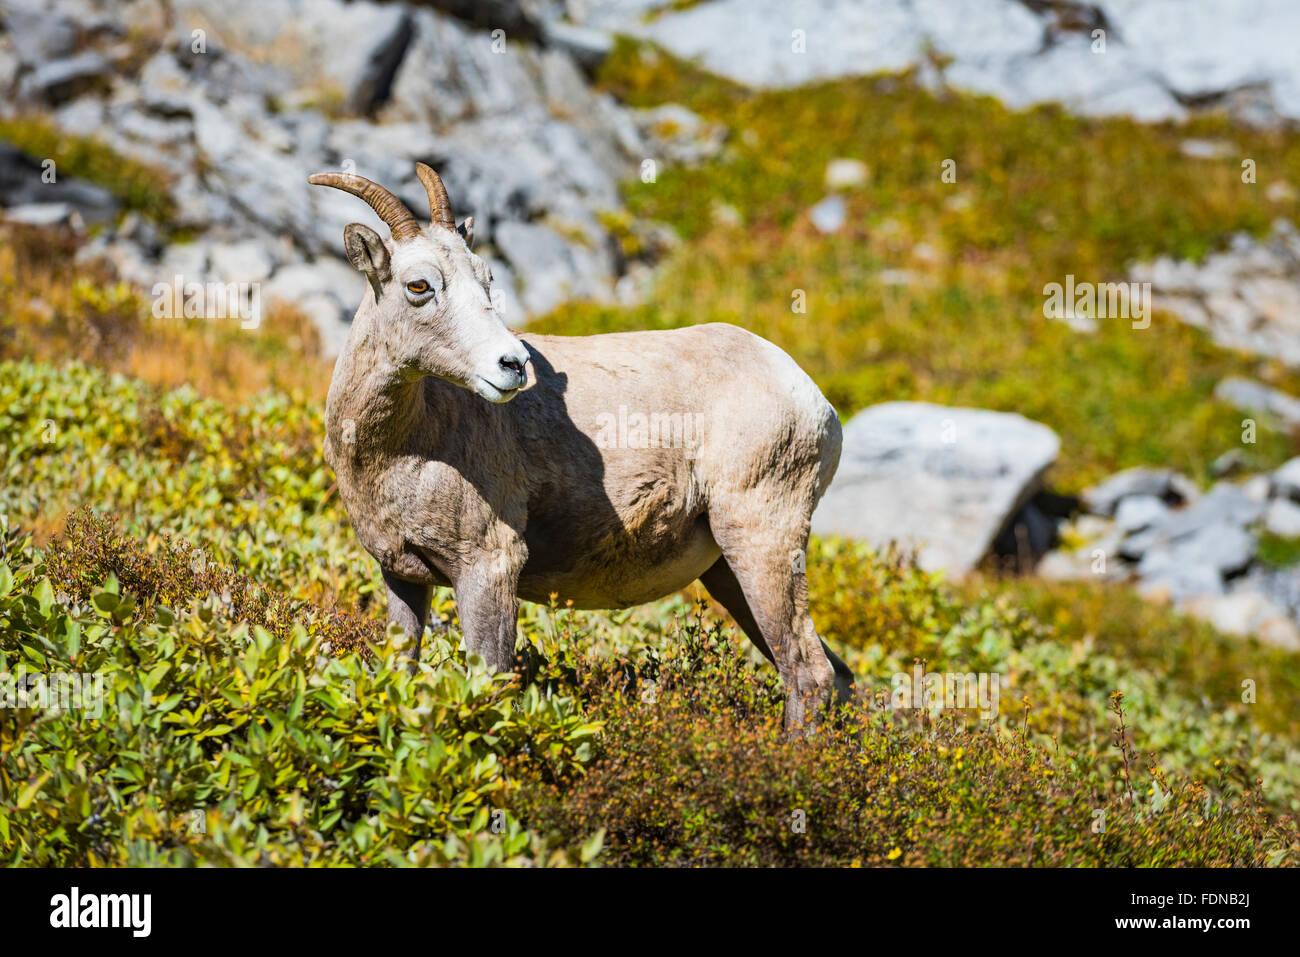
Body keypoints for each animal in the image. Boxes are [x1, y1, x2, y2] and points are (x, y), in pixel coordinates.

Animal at [309, 163, 853, 732]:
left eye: (487, 279)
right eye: (419, 285)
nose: (513, 364)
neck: (401, 450)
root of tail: (814, 400)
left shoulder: (488, 569)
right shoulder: (402, 577)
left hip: (762, 545)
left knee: (809, 674)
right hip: (729, 572)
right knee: (836, 674)